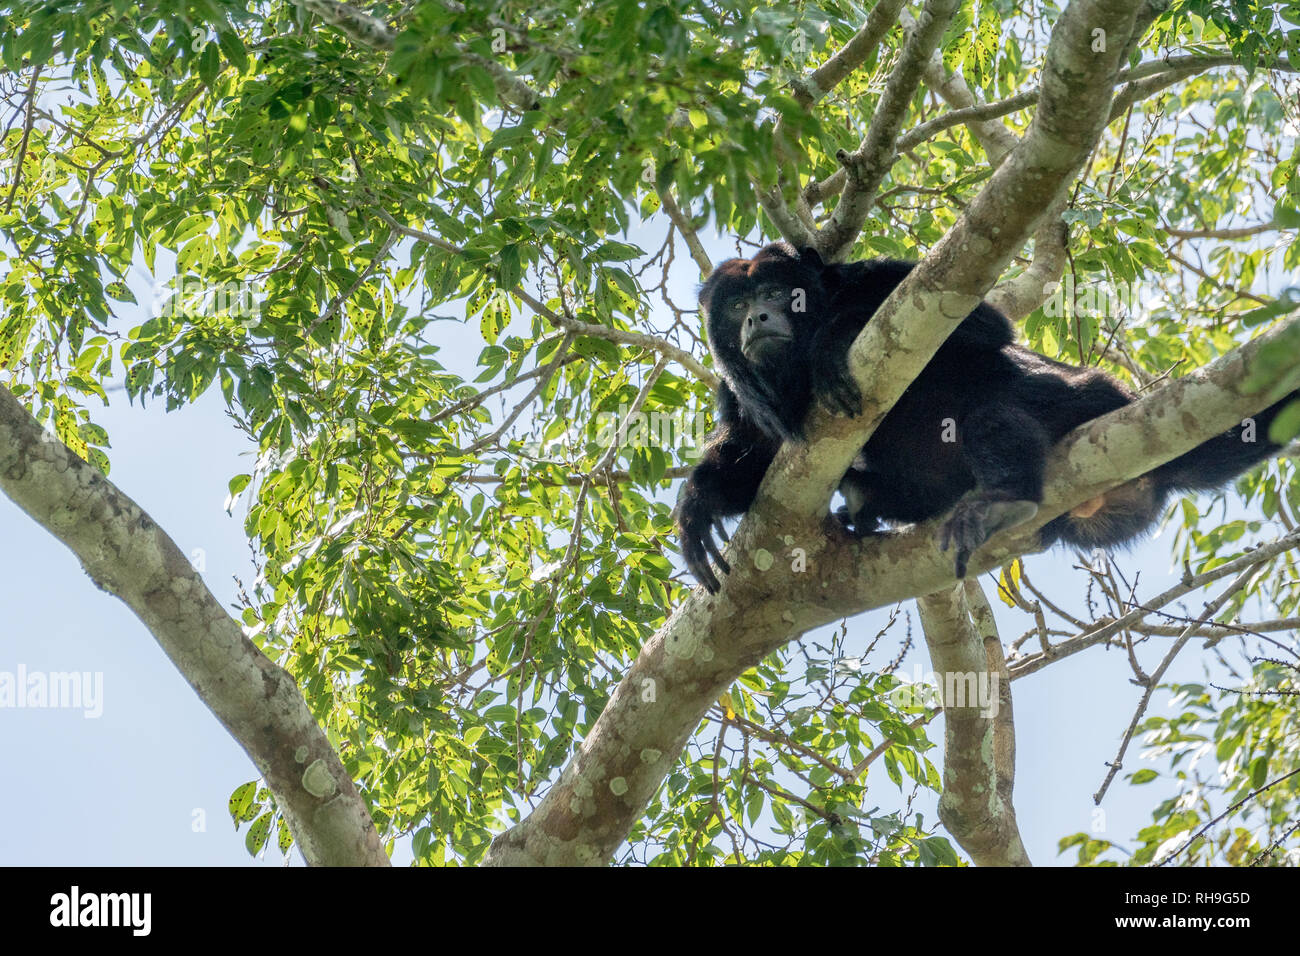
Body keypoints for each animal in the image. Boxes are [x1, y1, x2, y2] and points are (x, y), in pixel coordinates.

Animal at [675, 242, 1296, 592]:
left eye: (778, 293)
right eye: (736, 305)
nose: (756, 318)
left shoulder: (872, 276)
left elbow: (982, 327)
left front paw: (835, 338)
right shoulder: (737, 390)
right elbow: (752, 456)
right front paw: (698, 503)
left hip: (1091, 399)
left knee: (993, 410)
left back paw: (1003, 497)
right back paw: (867, 503)